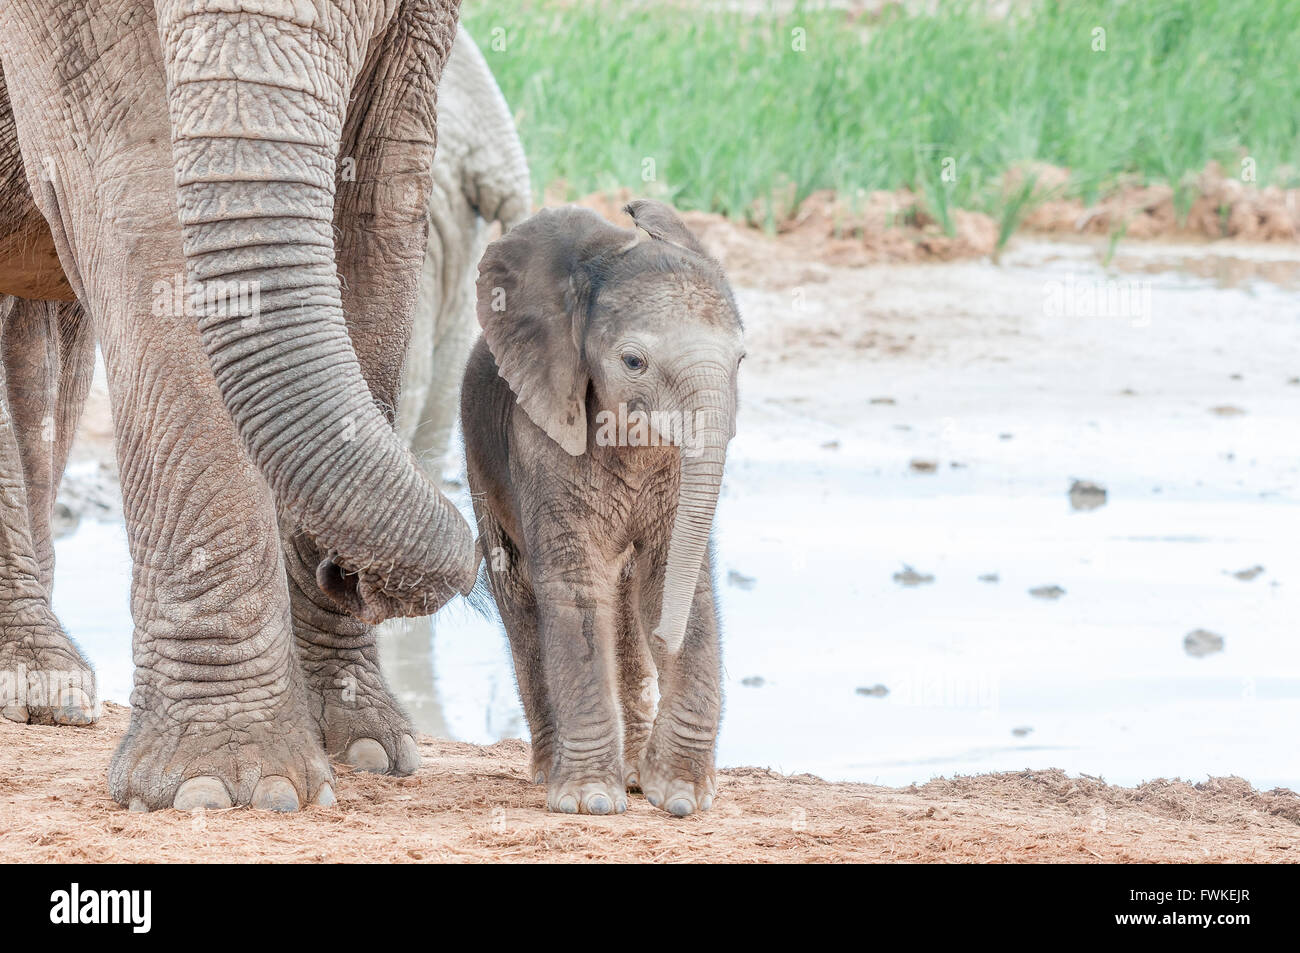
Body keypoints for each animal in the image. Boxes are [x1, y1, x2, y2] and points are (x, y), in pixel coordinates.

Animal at [0, 0, 478, 812]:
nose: (347, 574)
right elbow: (143, 202)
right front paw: (225, 789)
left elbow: (381, 200)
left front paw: (363, 749)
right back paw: (36, 684)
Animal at [461, 200, 745, 816]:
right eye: (633, 362)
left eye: (741, 360)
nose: (667, 639)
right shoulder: (540, 435)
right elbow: (576, 587)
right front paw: (590, 801)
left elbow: (672, 578)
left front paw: (680, 797)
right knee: (521, 596)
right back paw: (551, 774)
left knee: (626, 597)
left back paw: (633, 774)